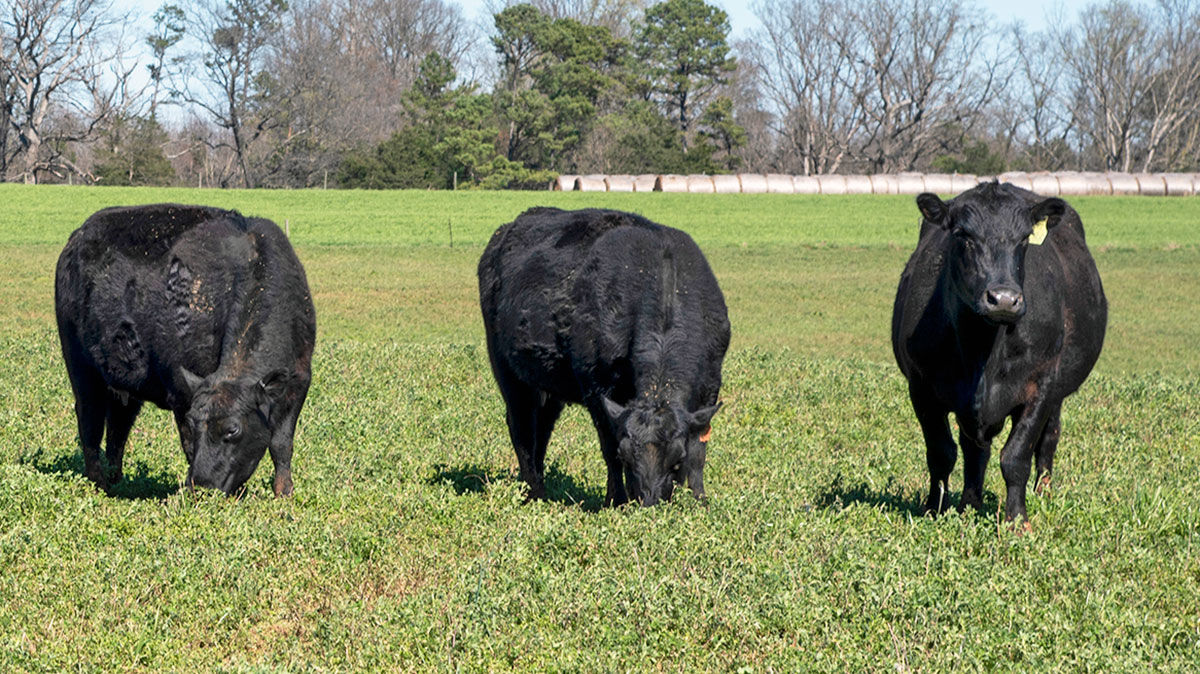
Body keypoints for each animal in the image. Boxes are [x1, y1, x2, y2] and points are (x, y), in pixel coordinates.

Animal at [55, 204, 316, 496]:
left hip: (124, 386)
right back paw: (98, 482)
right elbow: (190, 446)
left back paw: (116, 480)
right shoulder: (181, 394)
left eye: (232, 430)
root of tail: (79, 236)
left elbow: (281, 444)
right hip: (81, 369)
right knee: (90, 420)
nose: (202, 484)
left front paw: (283, 493)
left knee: (118, 427)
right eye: (194, 423)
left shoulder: (298, 384)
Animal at [478, 207, 730, 507]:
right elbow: (608, 444)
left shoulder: (710, 384)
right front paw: (617, 500)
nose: (649, 502)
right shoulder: (596, 386)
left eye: (676, 459)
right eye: (626, 455)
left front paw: (699, 500)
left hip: (548, 385)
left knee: (542, 428)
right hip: (508, 372)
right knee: (522, 429)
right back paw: (534, 493)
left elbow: (699, 451)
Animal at [891, 182, 1106, 525]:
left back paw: (1043, 493)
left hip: (1058, 393)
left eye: (1024, 239)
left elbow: (1016, 456)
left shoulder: (1041, 384)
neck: (983, 350)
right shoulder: (921, 386)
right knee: (974, 450)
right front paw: (934, 509)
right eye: (963, 234)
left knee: (1049, 440)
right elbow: (941, 453)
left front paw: (1017, 520)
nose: (1004, 299)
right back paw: (970, 504)